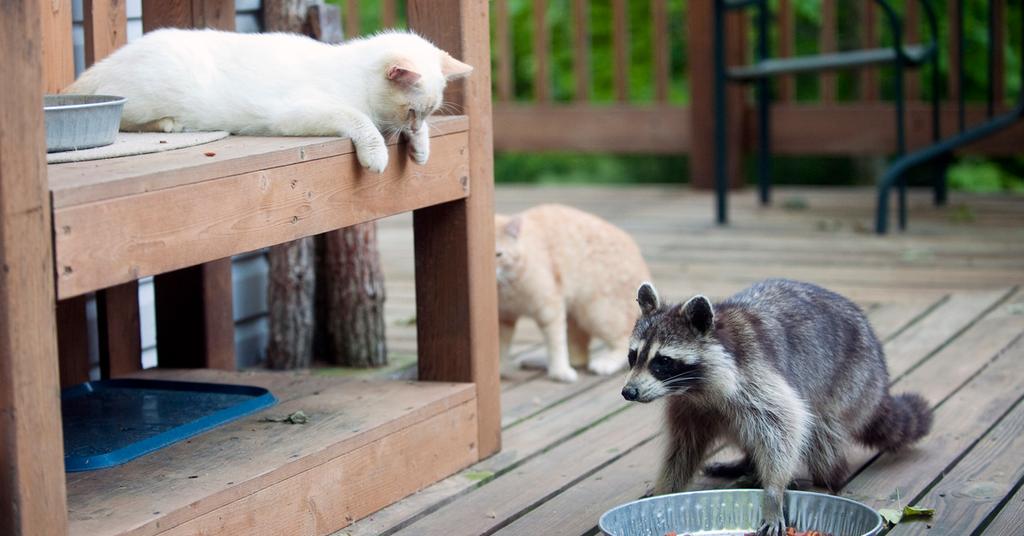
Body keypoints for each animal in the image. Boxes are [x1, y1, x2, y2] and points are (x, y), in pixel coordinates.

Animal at [621, 279, 932, 536]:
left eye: (662, 361)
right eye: (632, 356)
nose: (629, 392)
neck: (696, 388)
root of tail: (880, 377)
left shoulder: (753, 375)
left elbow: (785, 423)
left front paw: (773, 492)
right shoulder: (688, 405)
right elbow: (683, 447)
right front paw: (666, 488)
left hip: (853, 379)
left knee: (819, 429)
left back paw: (826, 479)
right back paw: (746, 463)